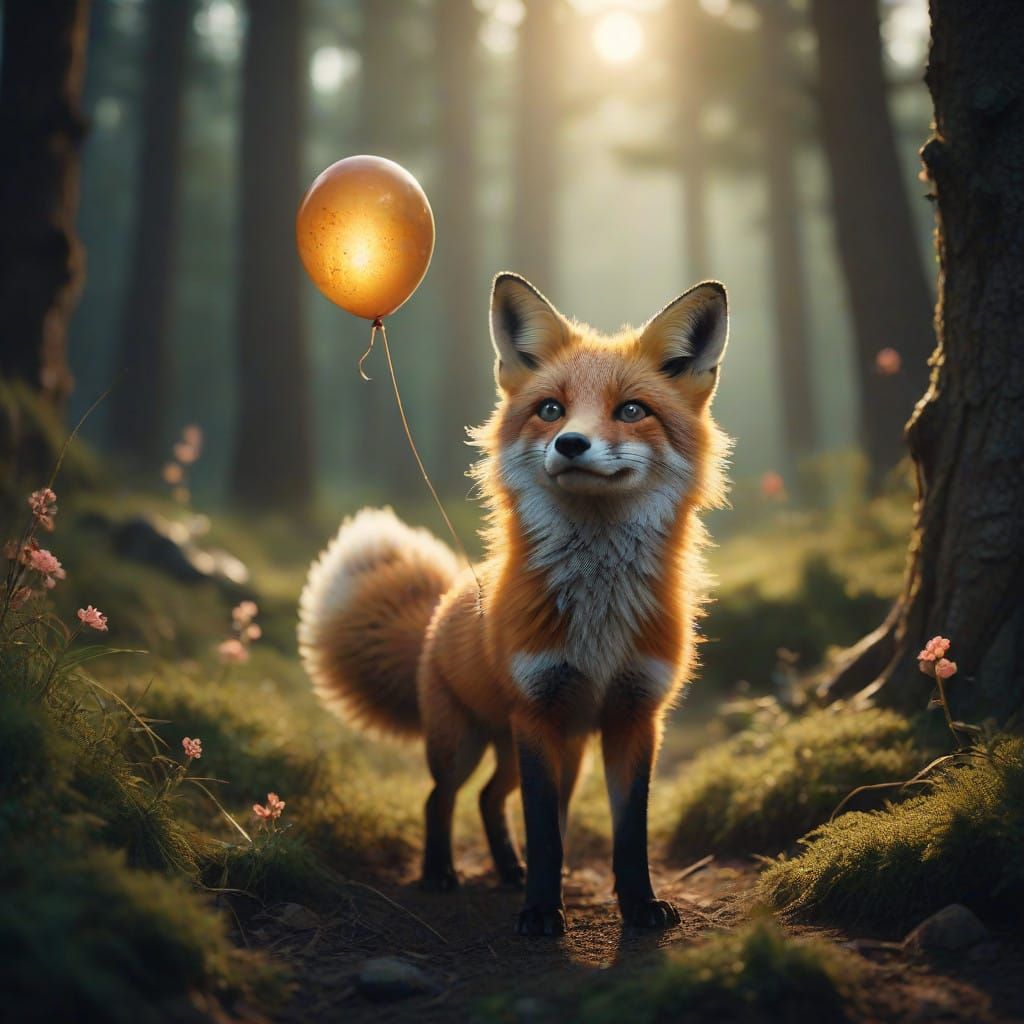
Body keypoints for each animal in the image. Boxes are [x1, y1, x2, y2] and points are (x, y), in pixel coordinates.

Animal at [298, 272, 730, 936]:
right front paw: (541, 912)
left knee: (487, 799)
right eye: (551, 409)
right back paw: (442, 873)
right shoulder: (538, 713)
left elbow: (628, 832)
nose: (571, 443)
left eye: (632, 410)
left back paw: (507, 869)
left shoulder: (634, 716)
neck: (597, 618)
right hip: (466, 744)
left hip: (552, 750)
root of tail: (443, 605)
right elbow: (545, 828)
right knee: (442, 797)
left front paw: (637, 904)